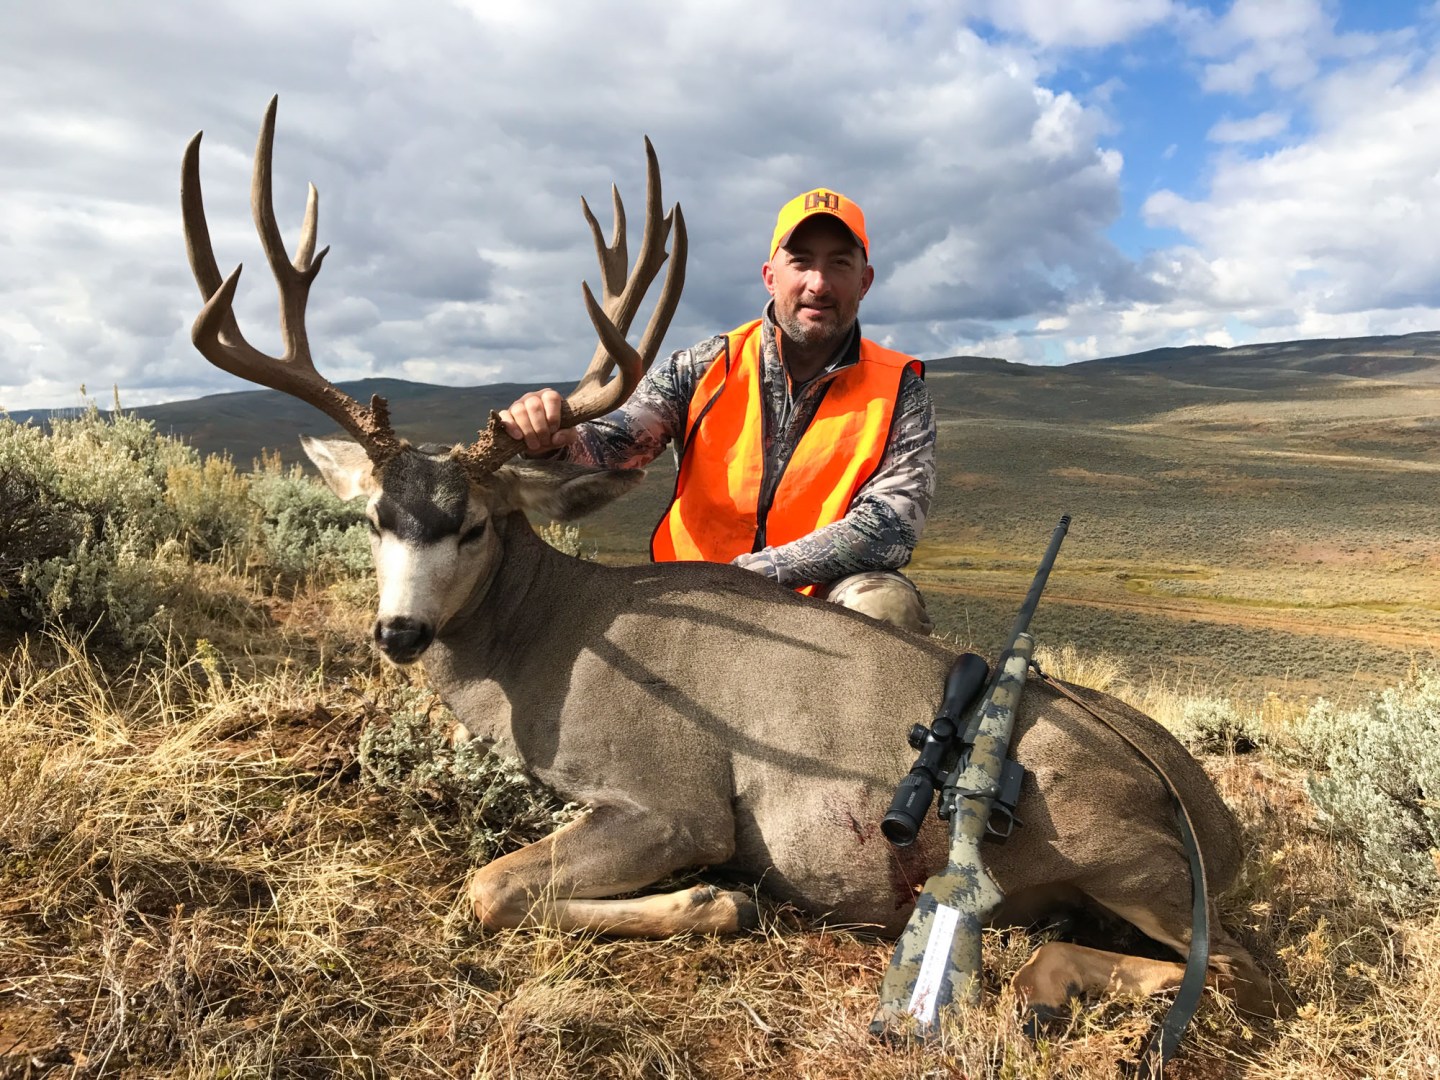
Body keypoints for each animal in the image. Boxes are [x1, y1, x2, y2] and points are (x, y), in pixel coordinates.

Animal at [180, 98, 1284, 1028]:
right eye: (375, 518)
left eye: (476, 526)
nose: (399, 631)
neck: (549, 646)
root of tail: (1216, 825)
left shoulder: (673, 798)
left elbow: (492, 886)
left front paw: (718, 900)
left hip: (1123, 854)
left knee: (1236, 968)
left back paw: (1040, 984)